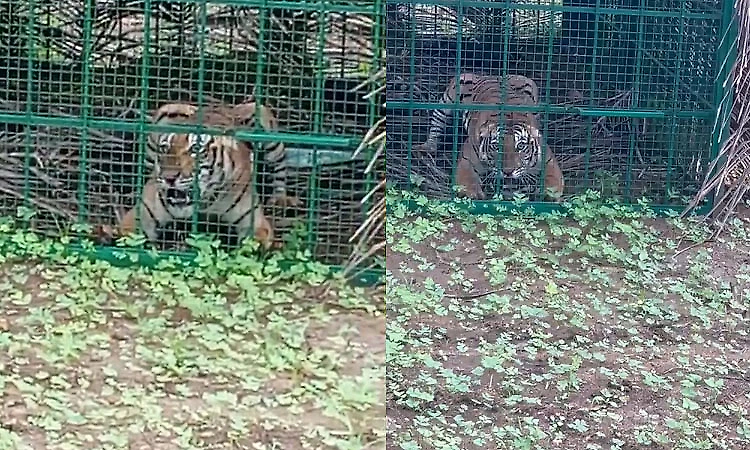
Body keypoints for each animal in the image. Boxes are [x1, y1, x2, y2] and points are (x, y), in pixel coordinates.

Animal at [417, 73, 564, 201]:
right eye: (497, 146)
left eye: (521, 146)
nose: (508, 172)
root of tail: (492, 76)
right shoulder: (466, 161)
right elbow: (467, 180)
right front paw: (472, 194)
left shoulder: (548, 159)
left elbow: (553, 178)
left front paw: (549, 195)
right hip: (451, 94)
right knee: (437, 122)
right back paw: (428, 147)